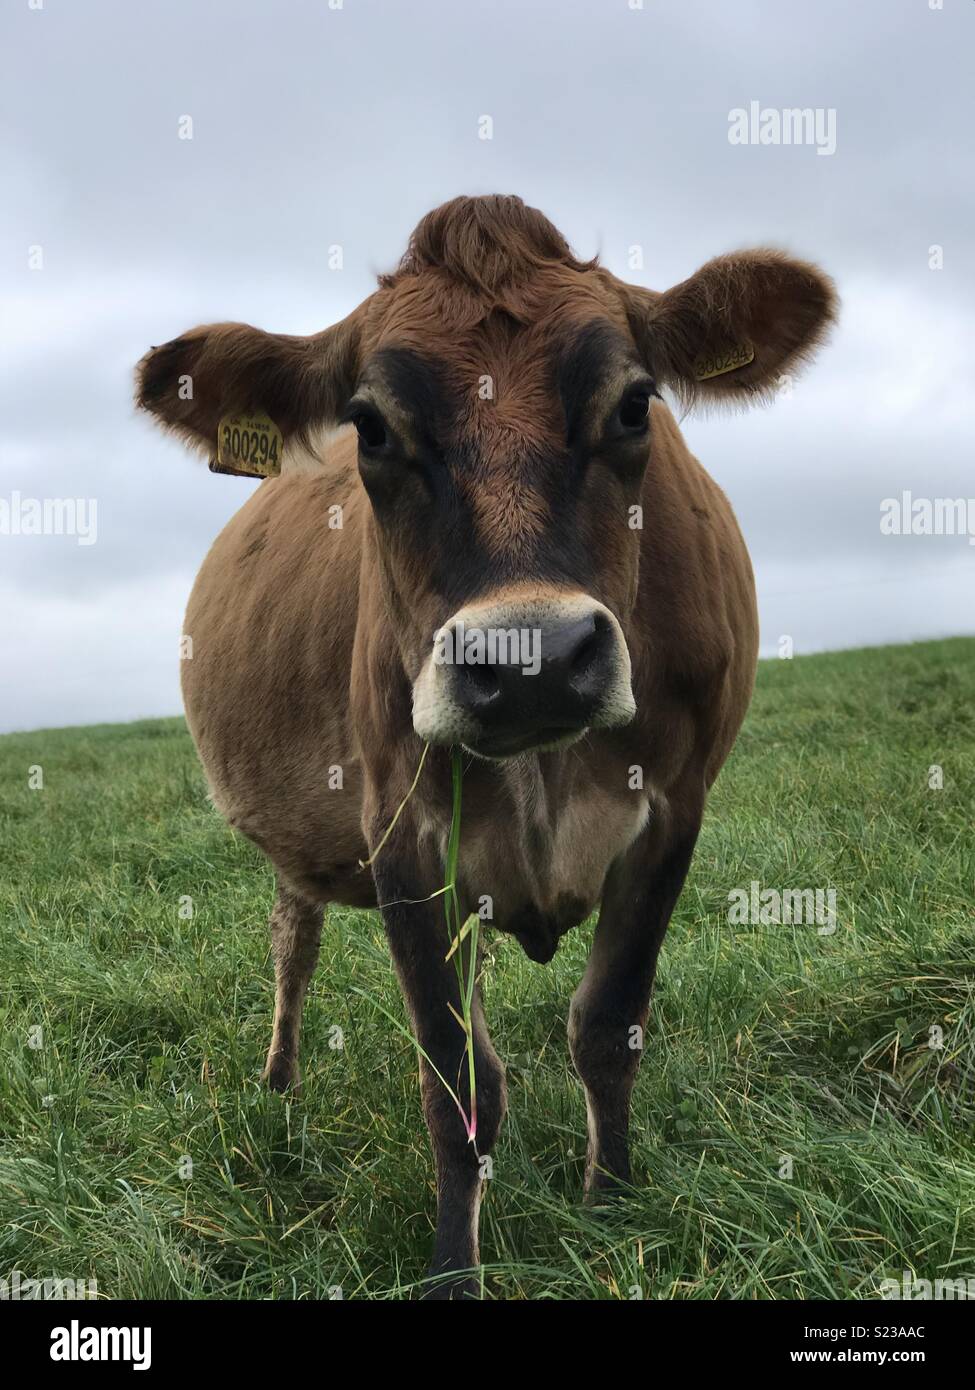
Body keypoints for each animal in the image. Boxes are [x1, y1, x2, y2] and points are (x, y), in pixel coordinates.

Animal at [136, 194, 836, 1298]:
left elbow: (606, 1027)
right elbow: (454, 1076)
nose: (534, 660)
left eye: (634, 404)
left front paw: (611, 1207)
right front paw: (451, 1269)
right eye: (371, 425)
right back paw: (279, 1085)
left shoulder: (673, 809)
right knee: (294, 943)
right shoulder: (397, 829)